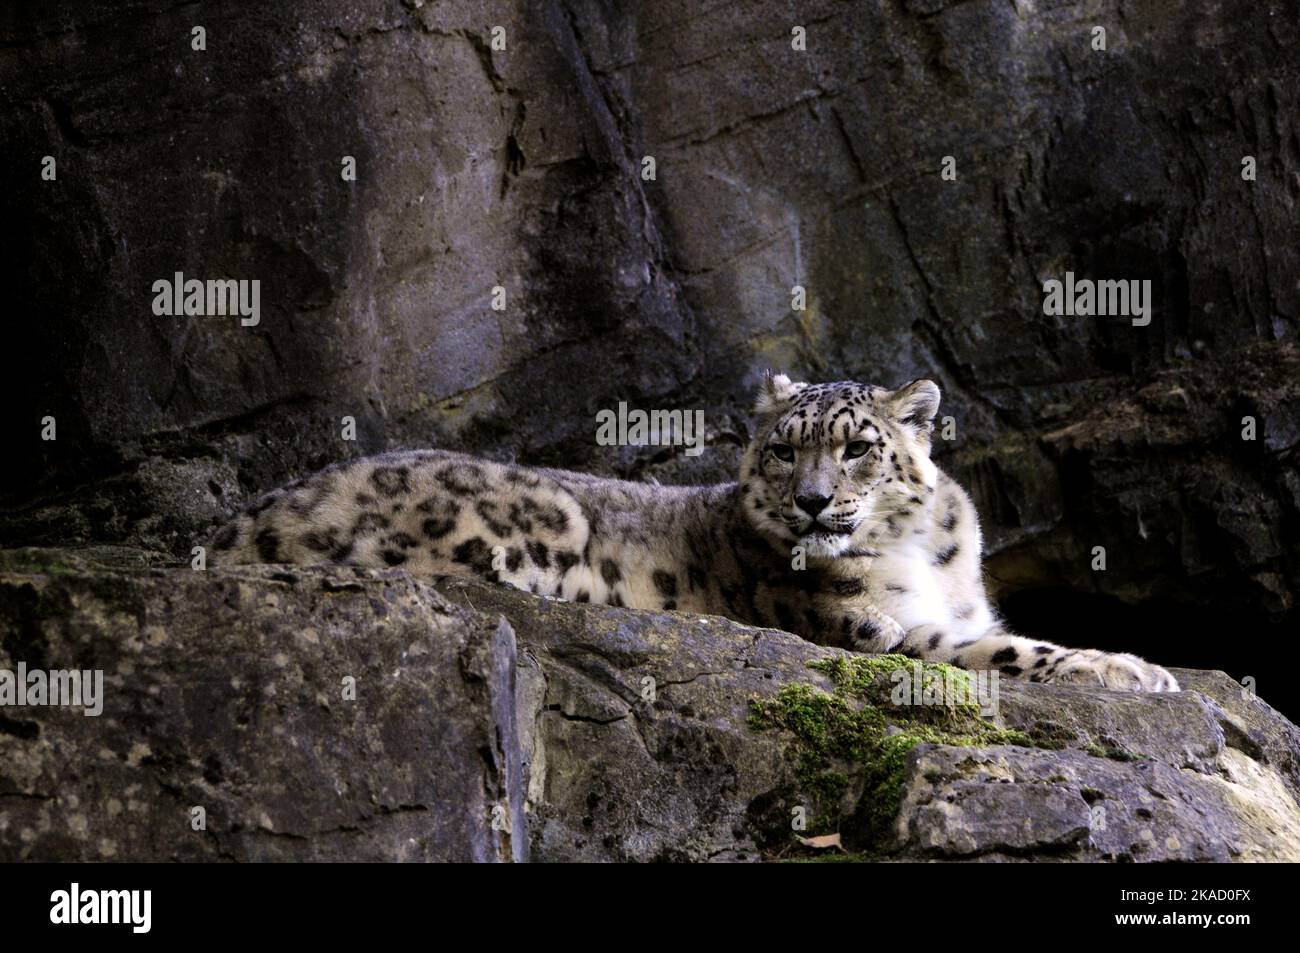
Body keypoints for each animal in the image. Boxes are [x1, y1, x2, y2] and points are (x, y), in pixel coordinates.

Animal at [207, 372, 1178, 692]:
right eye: (784, 449)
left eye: (858, 447)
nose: (813, 502)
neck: (926, 558)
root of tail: (241, 518)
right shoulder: (877, 625)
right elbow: (999, 650)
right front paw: (1131, 667)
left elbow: (1000, 634)